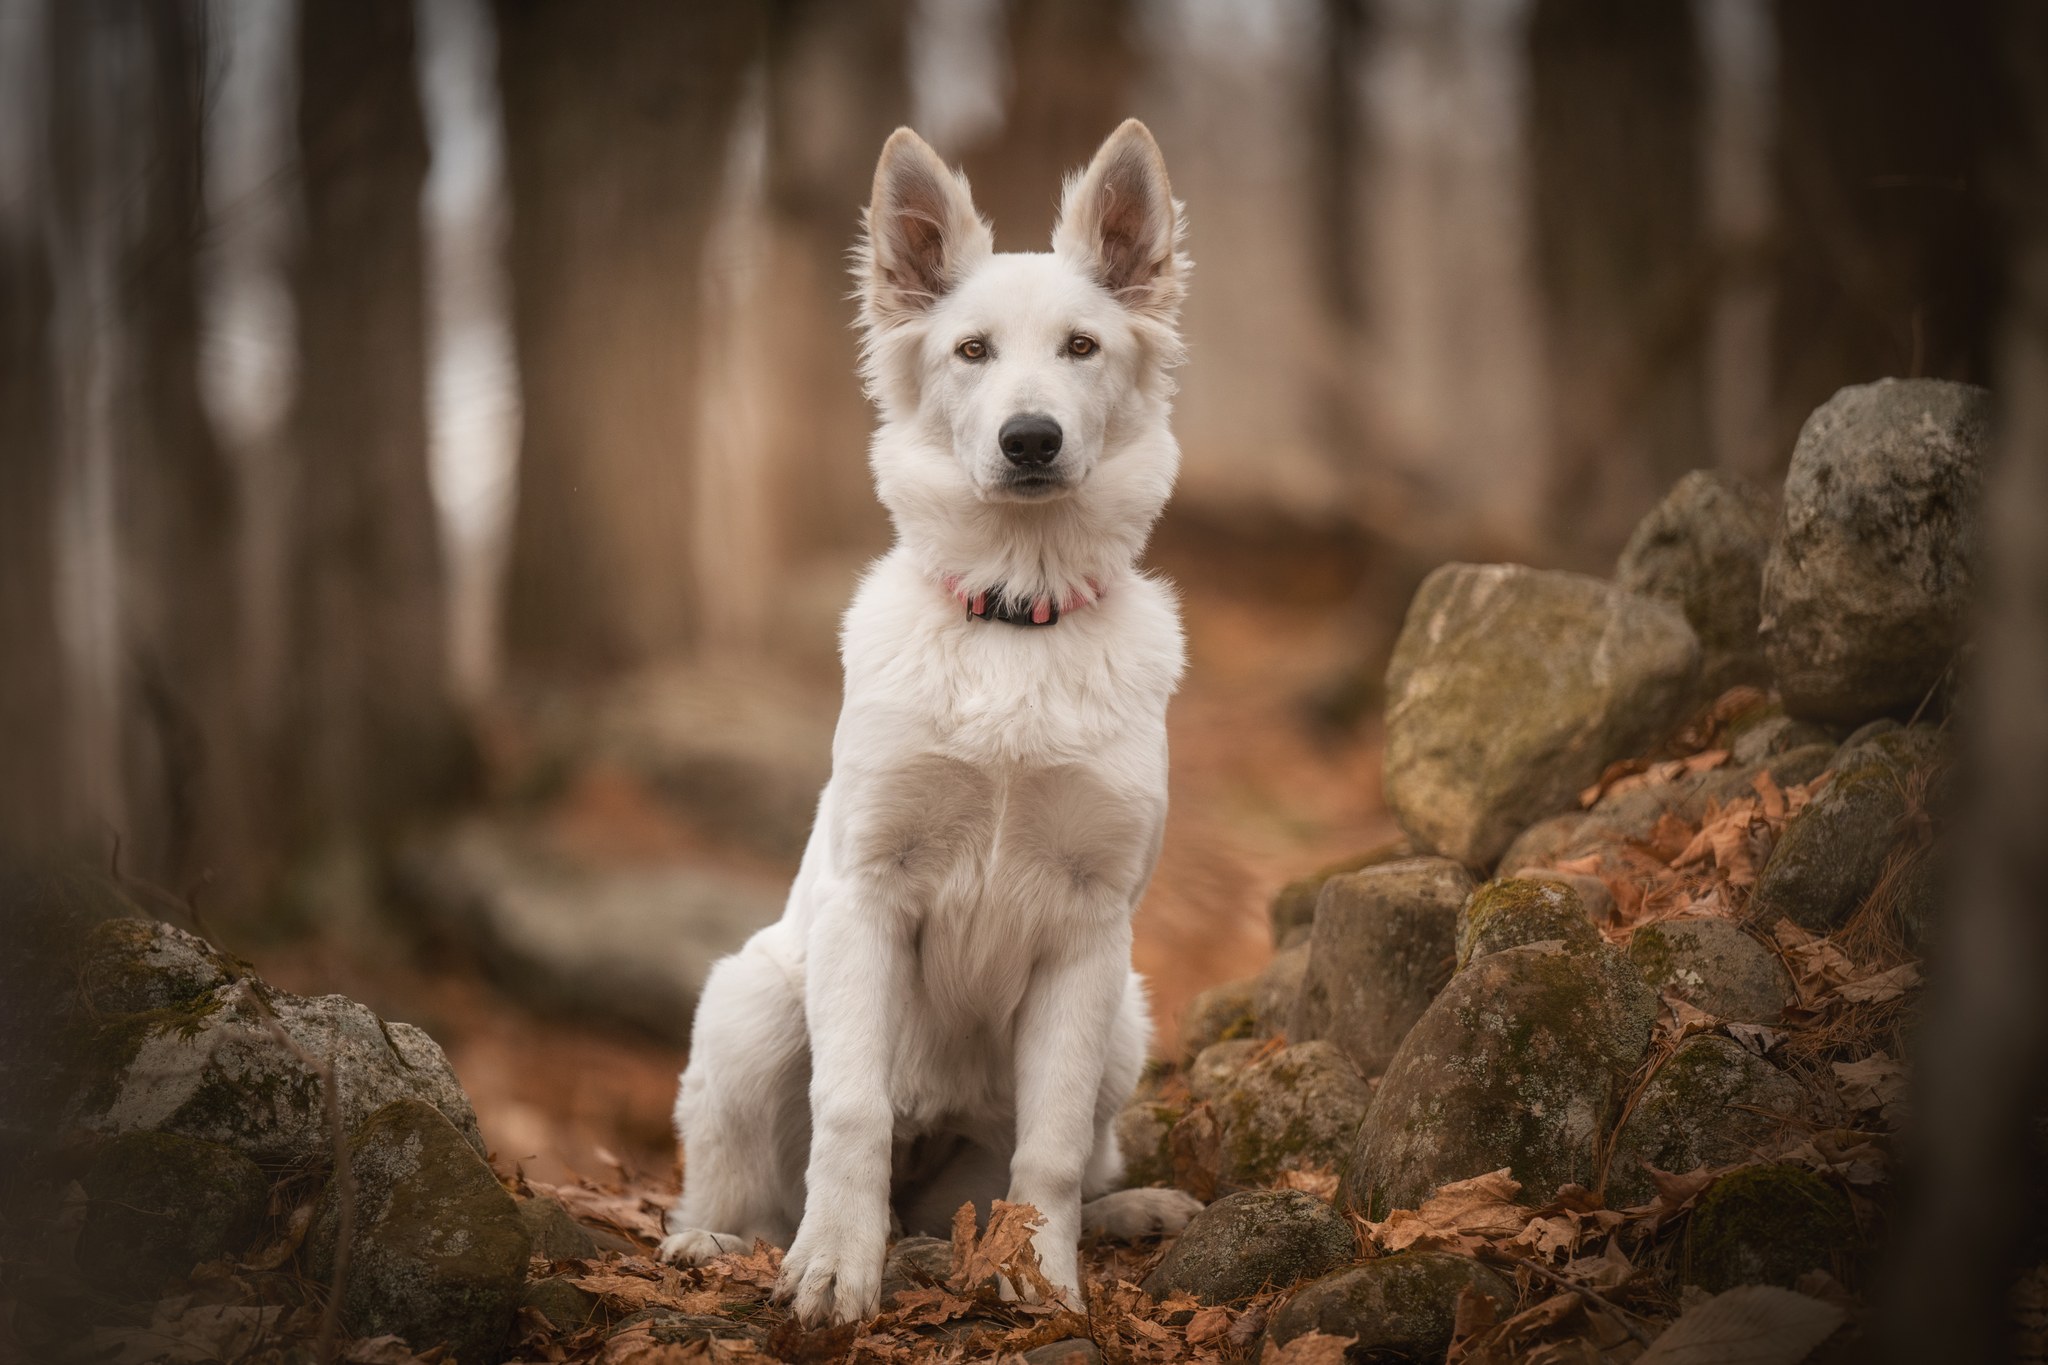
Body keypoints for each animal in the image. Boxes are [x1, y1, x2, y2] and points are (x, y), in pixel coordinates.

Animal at [658, 118, 1199, 1327]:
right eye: (971, 352)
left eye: (1083, 347)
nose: (1031, 439)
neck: (1014, 617)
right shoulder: (870, 893)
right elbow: (851, 1113)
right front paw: (832, 1268)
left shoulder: (1090, 930)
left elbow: (1050, 1149)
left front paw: (1041, 1278)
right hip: (756, 1000)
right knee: (746, 1188)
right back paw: (717, 1245)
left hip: (1124, 1026)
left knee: (1053, 1166)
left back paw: (1121, 1214)